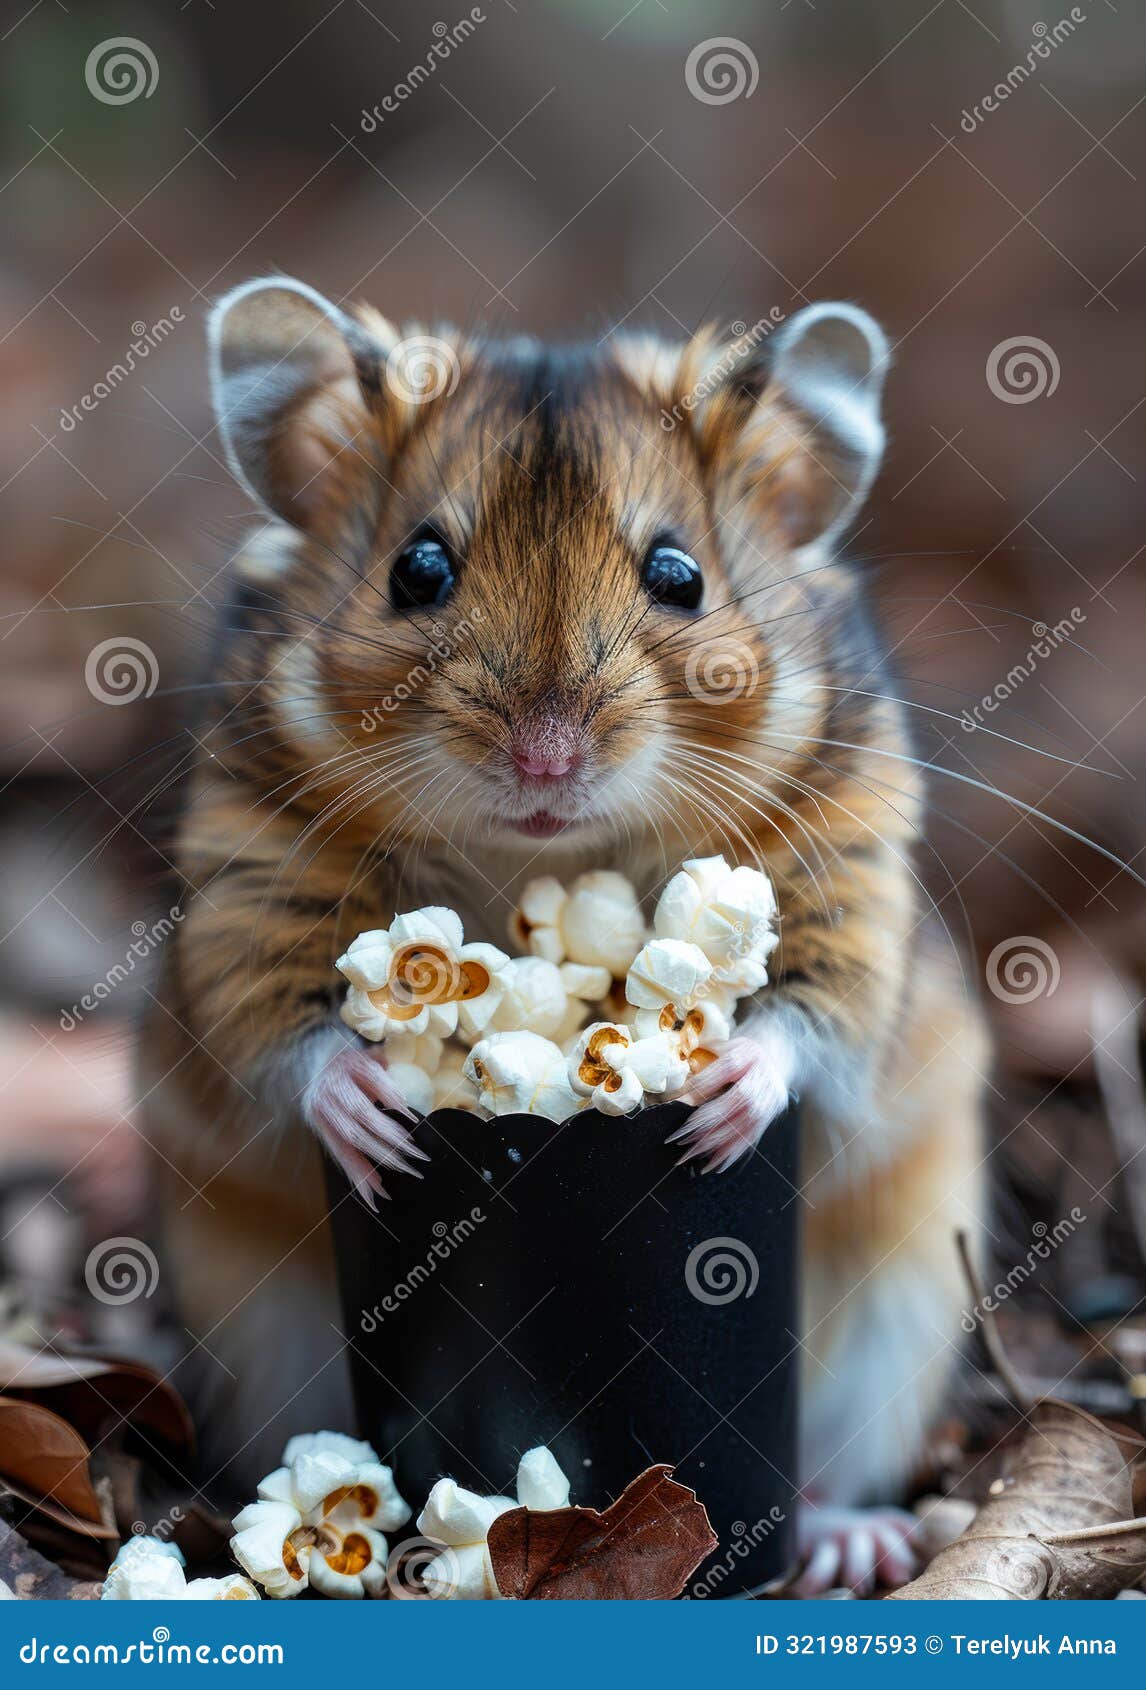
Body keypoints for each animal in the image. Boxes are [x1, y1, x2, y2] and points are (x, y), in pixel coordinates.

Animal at [140, 279, 986, 1592]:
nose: (545, 763)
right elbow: (286, 1023)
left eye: (680, 573)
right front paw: (376, 1115)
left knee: (834, 1472)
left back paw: (851, 1544)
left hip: (898, 1315)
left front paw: (720, 1100)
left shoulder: (845, 860)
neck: (532, 853)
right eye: (418, 568)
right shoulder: (250, 870)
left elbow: (808, 1008)